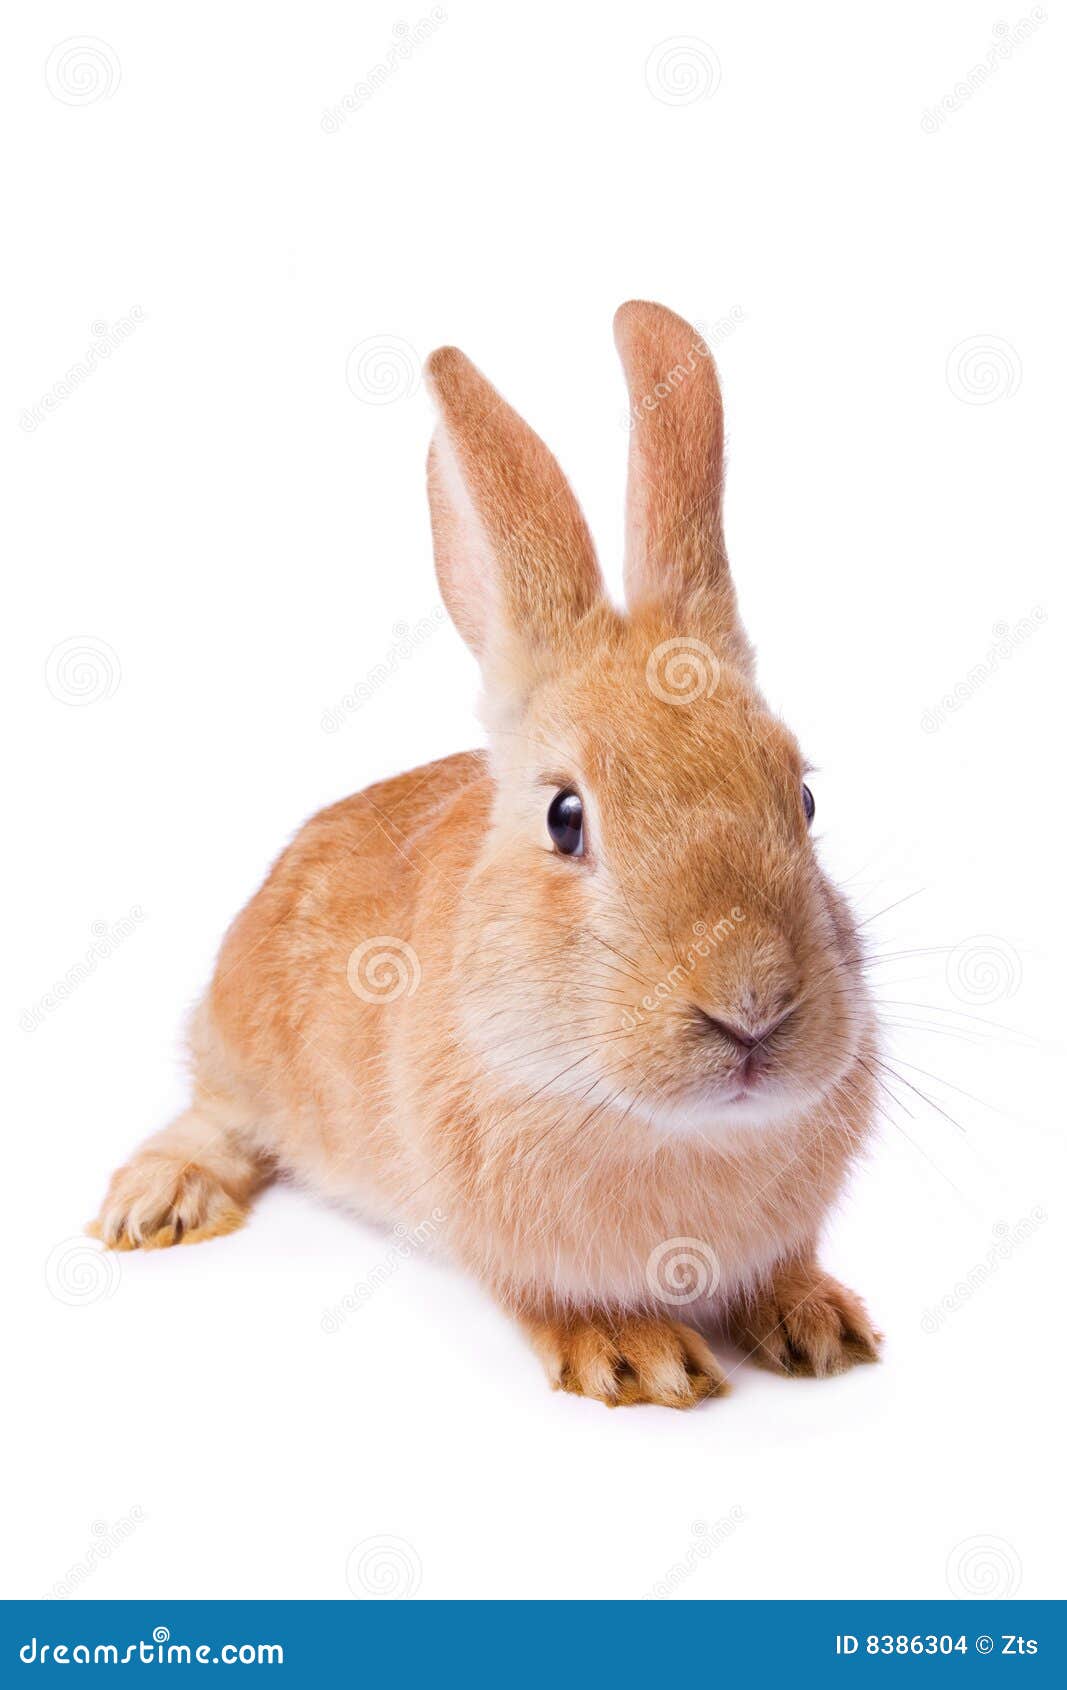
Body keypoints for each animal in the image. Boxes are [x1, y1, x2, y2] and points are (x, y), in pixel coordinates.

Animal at [91, 301, 881, 1408]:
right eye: (565, 817)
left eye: (802, 797)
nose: (751, 1005)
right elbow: (556, 1301)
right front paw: (636, 1358)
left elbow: (781, 1271)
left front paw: (818, 1326)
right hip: (244, 1058)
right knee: (215, 1117)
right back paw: (155, 1204)